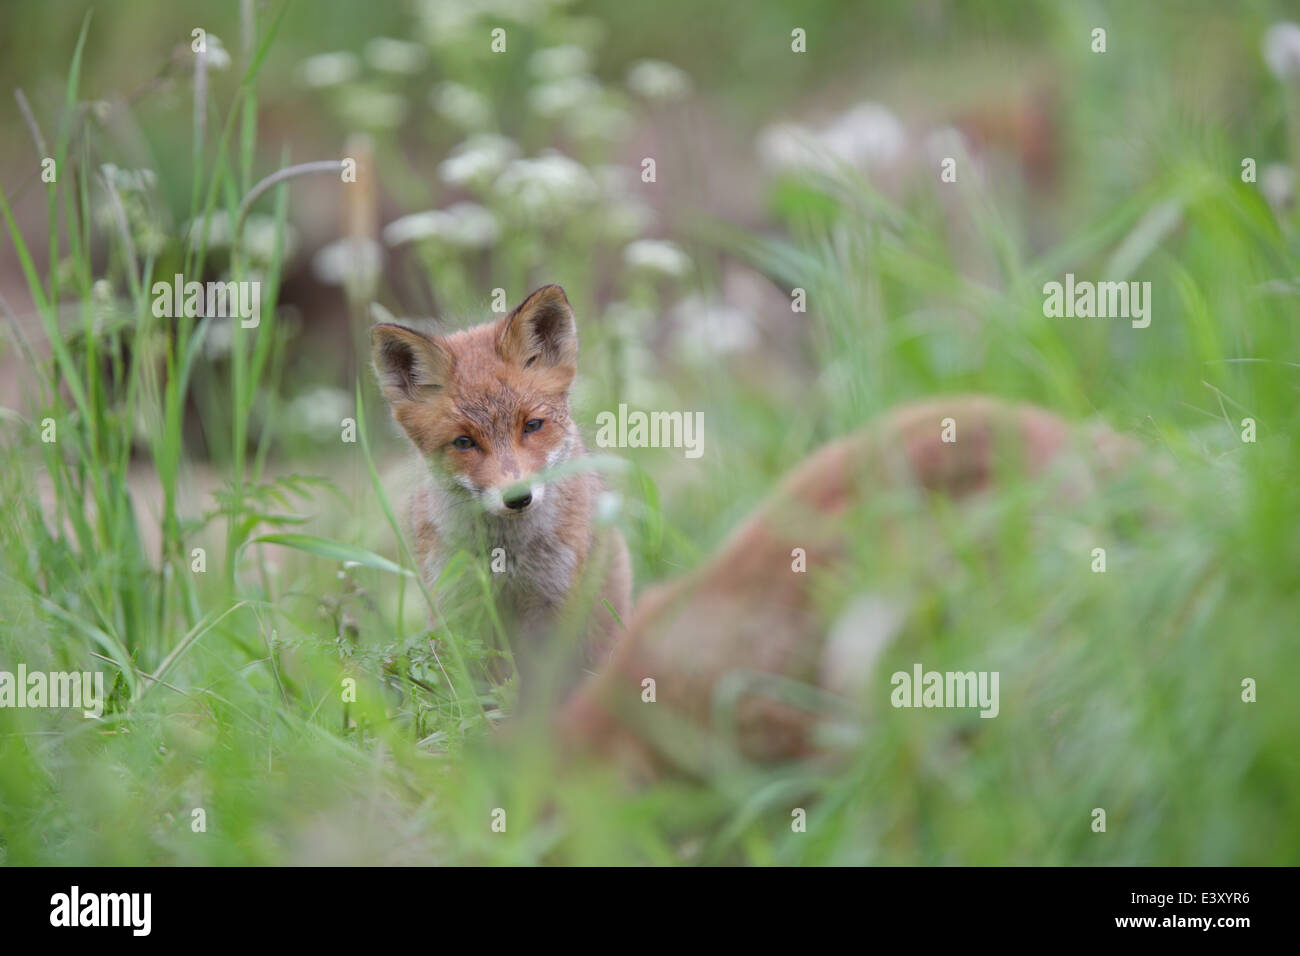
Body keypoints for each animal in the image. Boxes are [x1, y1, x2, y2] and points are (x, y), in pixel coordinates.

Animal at [371, 284, 631, 701]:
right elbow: (471, 689)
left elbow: (547, 685)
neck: (505, 556)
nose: (518, 497)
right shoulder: (457, 602)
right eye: (464, 442)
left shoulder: (554, 598)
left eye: (532, 425)